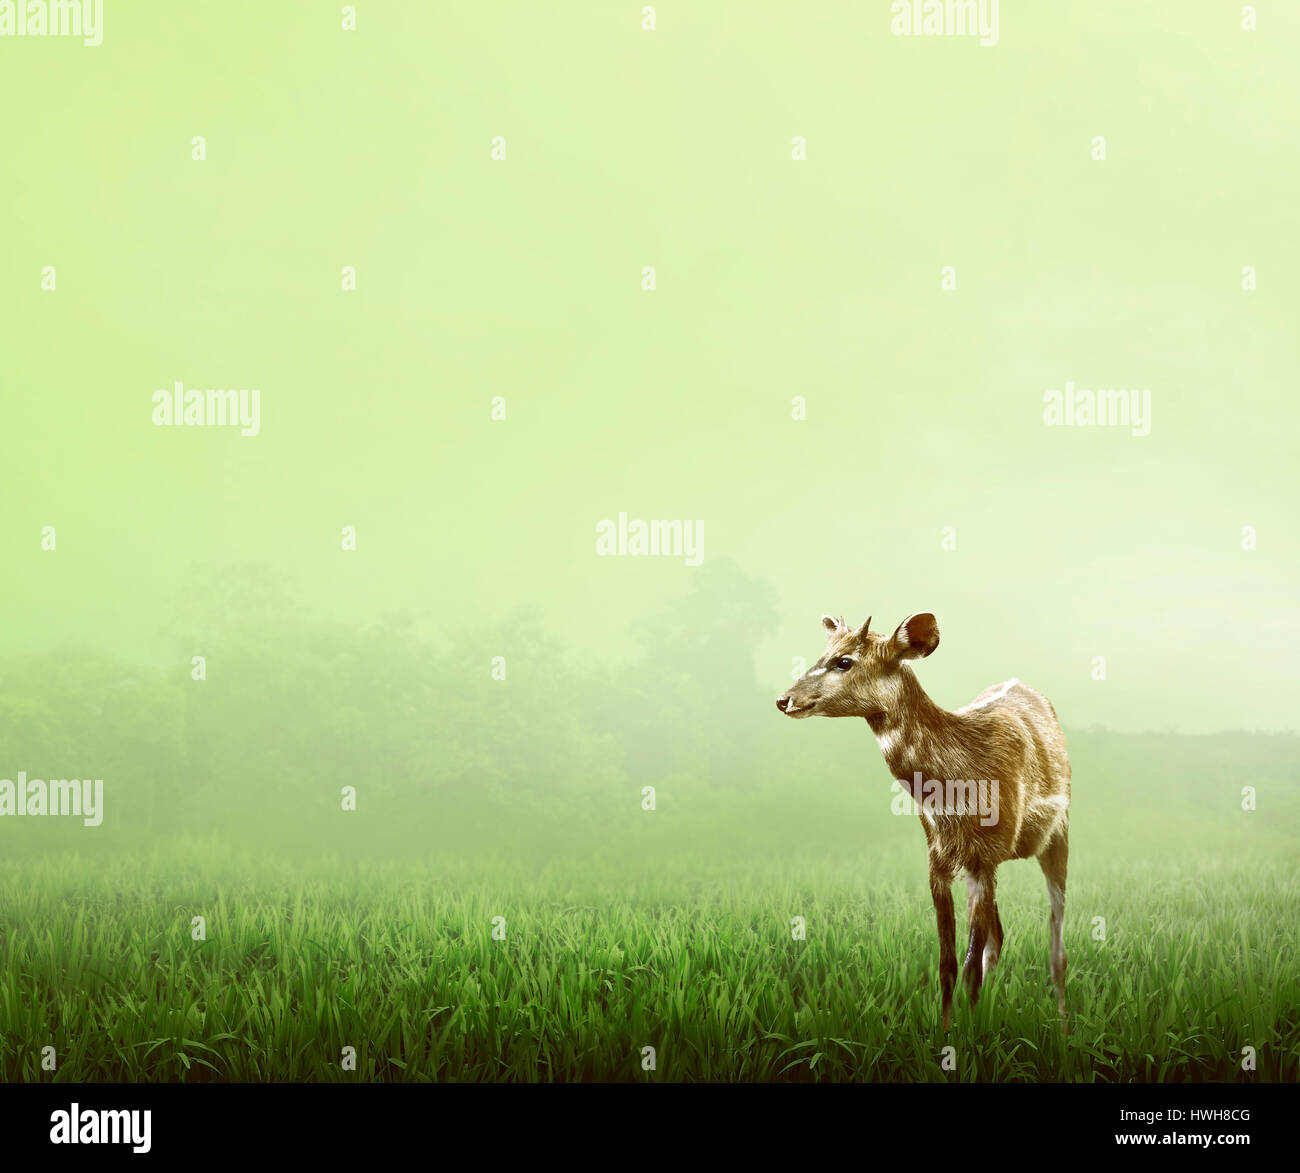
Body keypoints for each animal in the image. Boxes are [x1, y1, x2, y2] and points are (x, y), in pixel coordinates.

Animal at [776, 611, 1071, 1030]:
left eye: (844, 661)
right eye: (824, 652)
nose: (784, 699)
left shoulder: (985, 856)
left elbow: (969, 967)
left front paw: (971, 1033)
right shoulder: (939, 856)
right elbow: (948, 964)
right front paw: (947, 1030)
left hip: (1058, 832)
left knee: (1056, 939)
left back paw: (1063, 1024)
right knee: (999, 936)